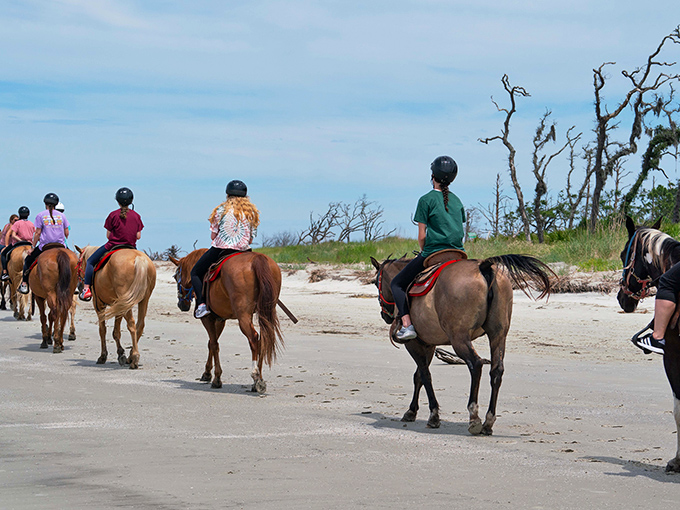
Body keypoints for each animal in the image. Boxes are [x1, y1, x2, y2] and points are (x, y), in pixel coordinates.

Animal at [170, 249, 284, 393]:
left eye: (175, 277)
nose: (181, 305)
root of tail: (257, 259)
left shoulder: (207, 318)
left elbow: (214, 344)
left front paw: (216, 378)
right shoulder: (220, 320)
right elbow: (211, 343)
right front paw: (207, 373)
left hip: (243, 316)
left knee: (253, 338)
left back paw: (256, 376)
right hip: (265, 312)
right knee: (264, 339)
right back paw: (259, 379)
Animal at [371, 253, 553, 435]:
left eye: (374, 282)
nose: (384, 315)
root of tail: (483, 267)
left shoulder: (414, 344)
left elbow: (424, 375)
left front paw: (433, 415)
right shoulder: (429, 345)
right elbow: (419, 377)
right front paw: (412, 411)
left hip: (459, 338)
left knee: (476, 364)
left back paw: (474, 417)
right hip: (498, 335)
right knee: (496, 371)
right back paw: (488, 421)